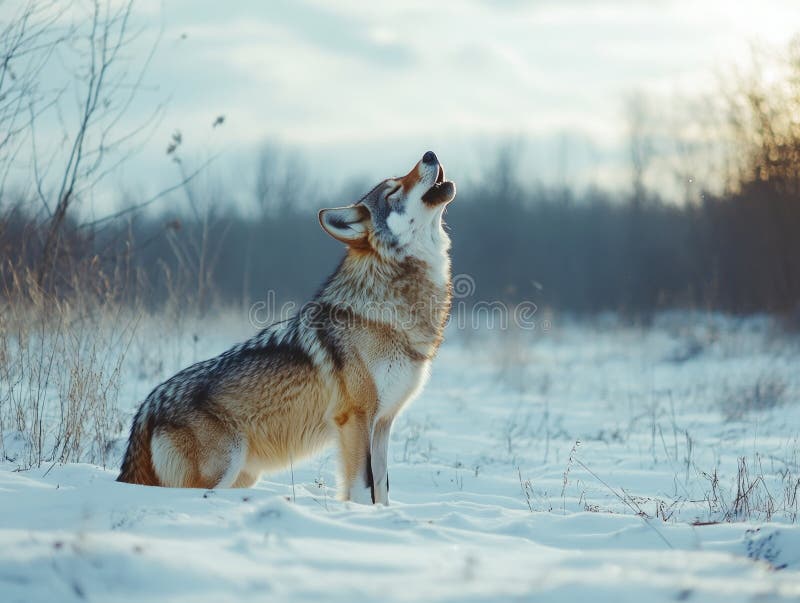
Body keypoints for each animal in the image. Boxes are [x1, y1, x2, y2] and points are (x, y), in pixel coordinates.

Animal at [117, 151, 455, 504]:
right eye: (392, 191)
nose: (430, 154)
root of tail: (147, 408)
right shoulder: (356, 419)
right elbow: (363, 488)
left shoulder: (383, 423)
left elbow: (382, 489)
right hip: (222, 469)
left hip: (244, 475)